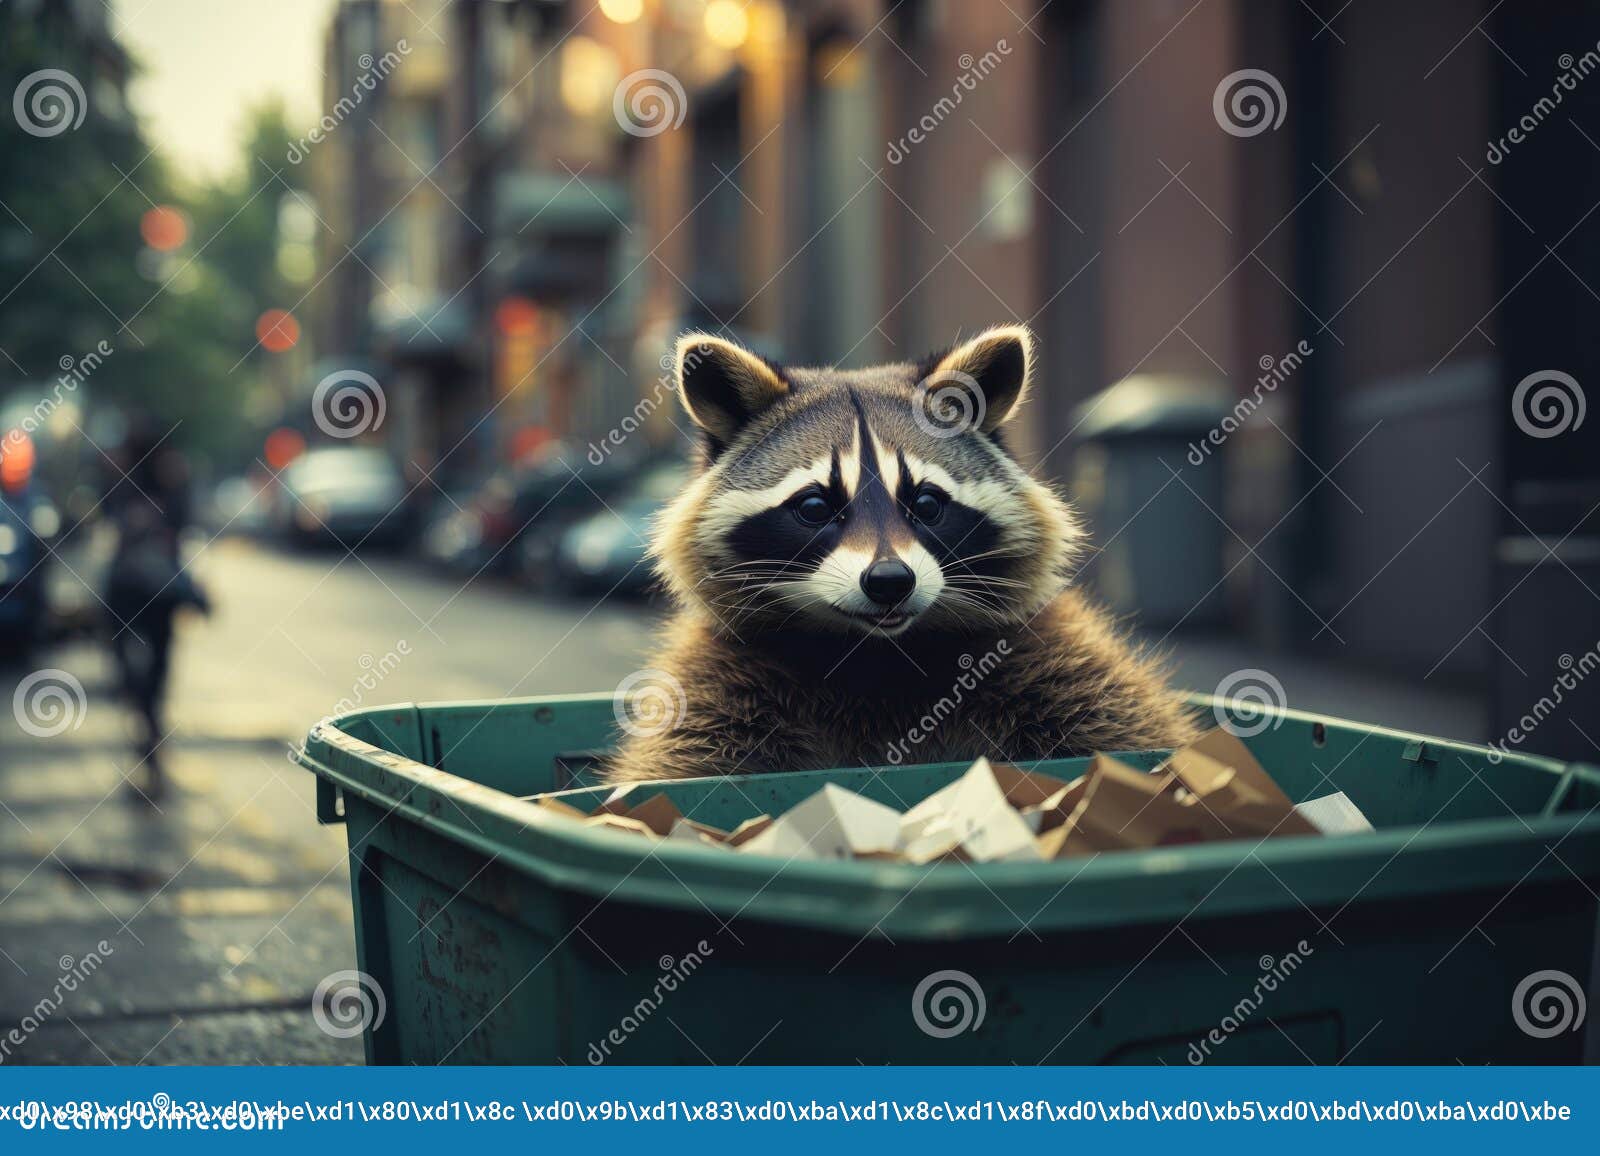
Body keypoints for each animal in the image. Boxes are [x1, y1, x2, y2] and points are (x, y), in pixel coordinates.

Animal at [604, 324, 1200, 783]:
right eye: (815, 505)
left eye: (928, 504)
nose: (890, 580)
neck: (876, 653)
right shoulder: (718, 686)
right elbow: (686, 761)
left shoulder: (1054, 665)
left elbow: (1121, 728)